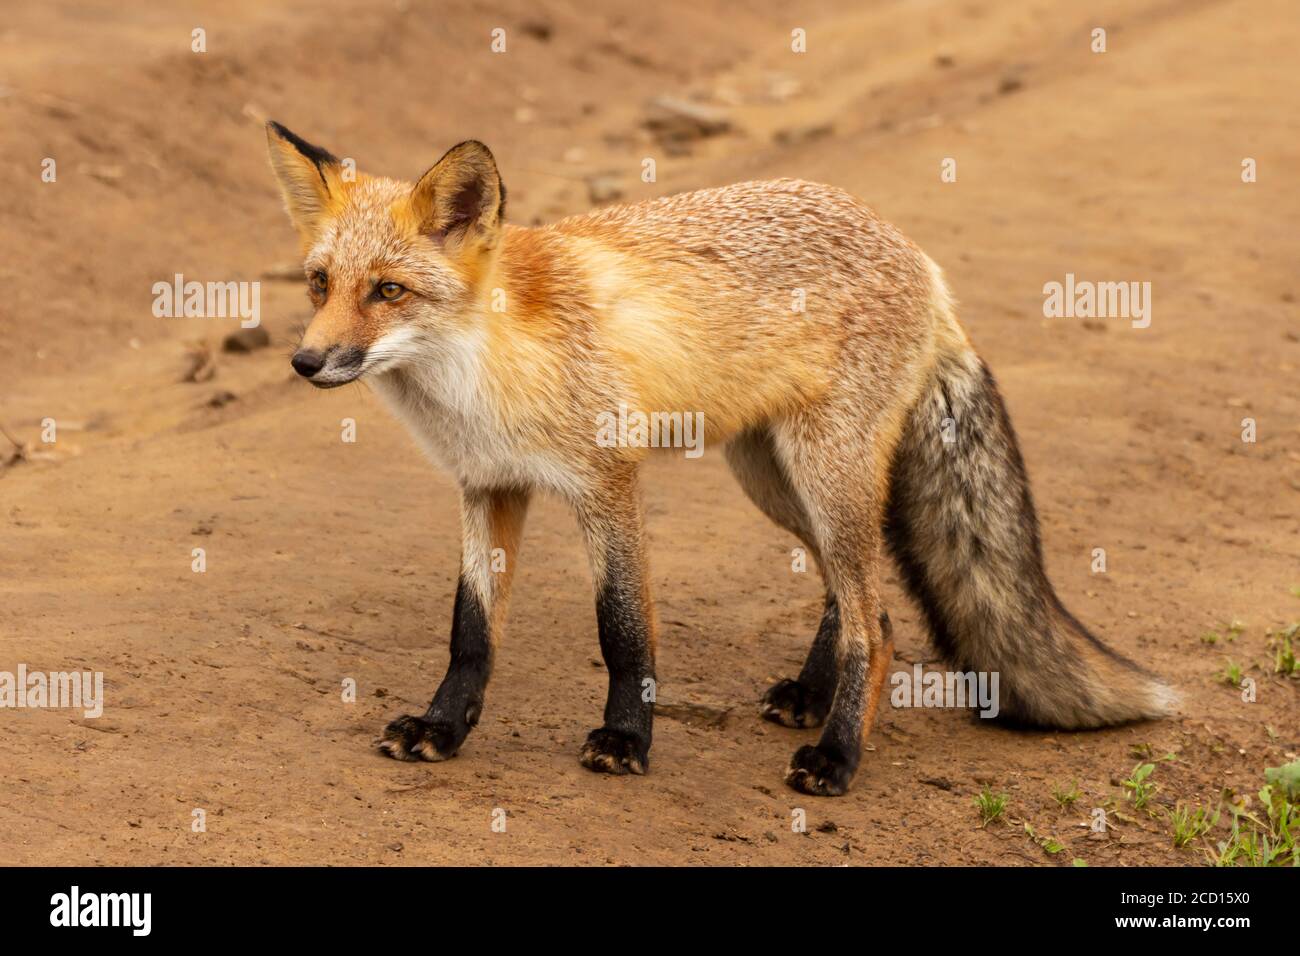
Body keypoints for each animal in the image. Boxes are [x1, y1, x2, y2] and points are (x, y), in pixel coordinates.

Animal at [264, 121, 1175, 796]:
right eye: (319, 284)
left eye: (389, 291)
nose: (307, 363)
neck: (481, 368)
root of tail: (919, 257)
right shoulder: (488, 486)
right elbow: (471, 630)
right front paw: (443, 727)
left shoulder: (609, 482)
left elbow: (624, 629)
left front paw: (626, 740)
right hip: (772, 480)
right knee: (853, 601)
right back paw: (811, 699)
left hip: (825, 475)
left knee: (876, 625)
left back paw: (837, 756)